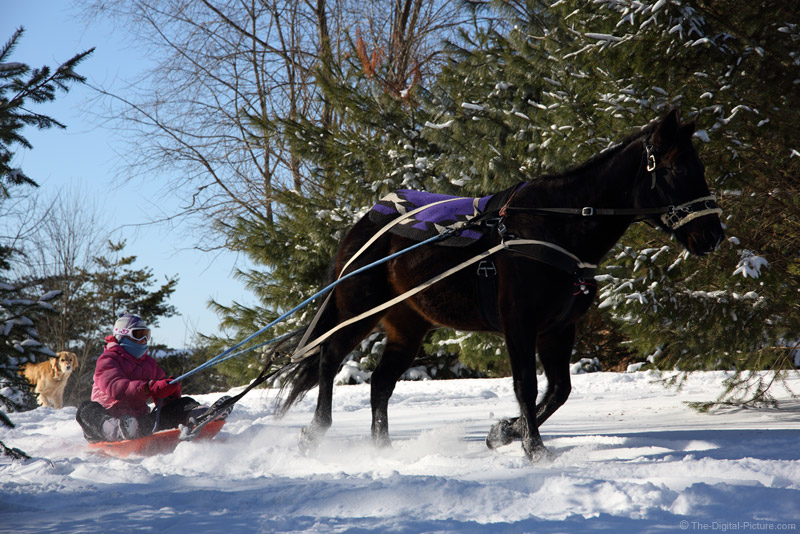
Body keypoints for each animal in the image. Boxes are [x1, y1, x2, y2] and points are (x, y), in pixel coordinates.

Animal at [277, 109, 724, 461]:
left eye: (701, 168)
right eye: (676, 169)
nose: (713, 235)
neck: (554, 225)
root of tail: (364, 223)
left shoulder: (558, 328)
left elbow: (560, 390)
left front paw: (503, 432)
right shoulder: (519, 323)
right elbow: (527, 384)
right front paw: (533, 448)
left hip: (408, 325)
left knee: (381, 384)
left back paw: (382, 450)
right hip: (357, 310)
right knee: (330, 358)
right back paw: (313, 434)